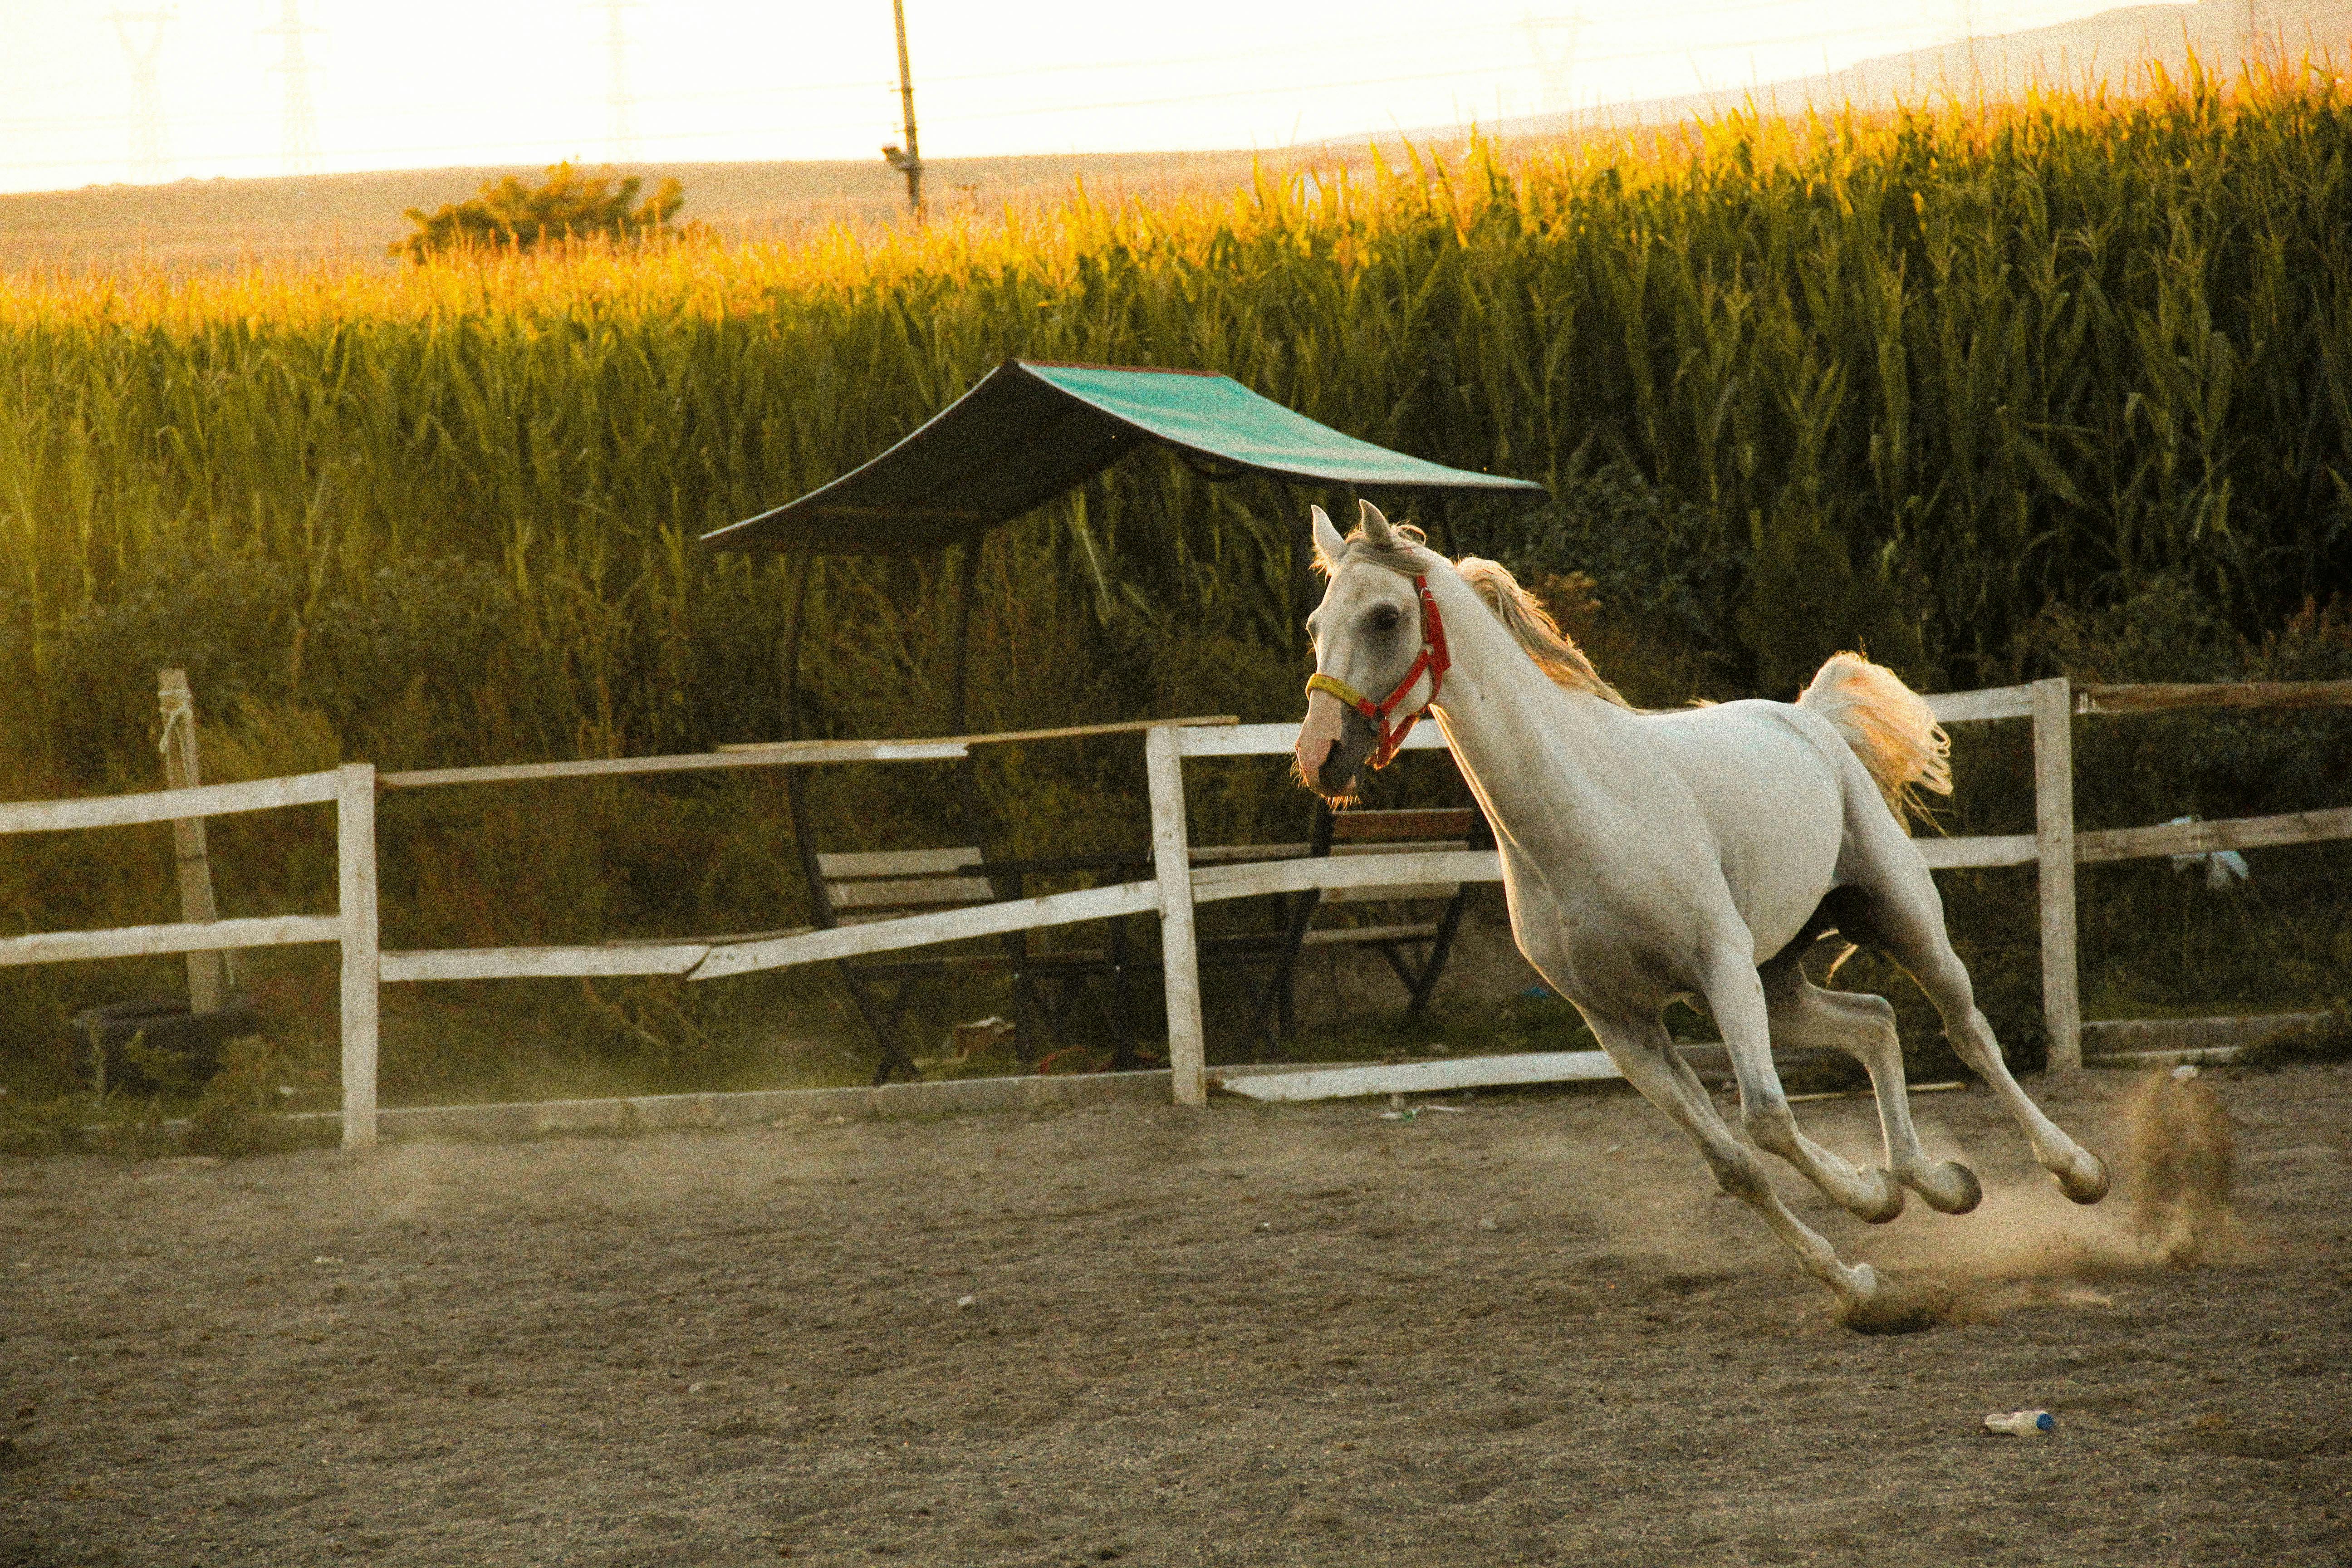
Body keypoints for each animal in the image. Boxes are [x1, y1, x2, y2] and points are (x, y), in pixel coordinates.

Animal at [1291, 499, 2108, 1321]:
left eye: (1386, 616)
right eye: (1315, 622)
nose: (1318, 756)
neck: (1579, 816)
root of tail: (1806, 718)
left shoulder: (1718, 970)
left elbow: (1767, 1120)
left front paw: (1865, 1217)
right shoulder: (1620, 1023)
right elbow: (1731, 1163)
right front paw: (1860, 1261)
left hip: (1895, 917)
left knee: (1967, 1032)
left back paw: (2077, 1171)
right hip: (1778, 982)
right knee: (1875, 1022)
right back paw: (1936, 1183)